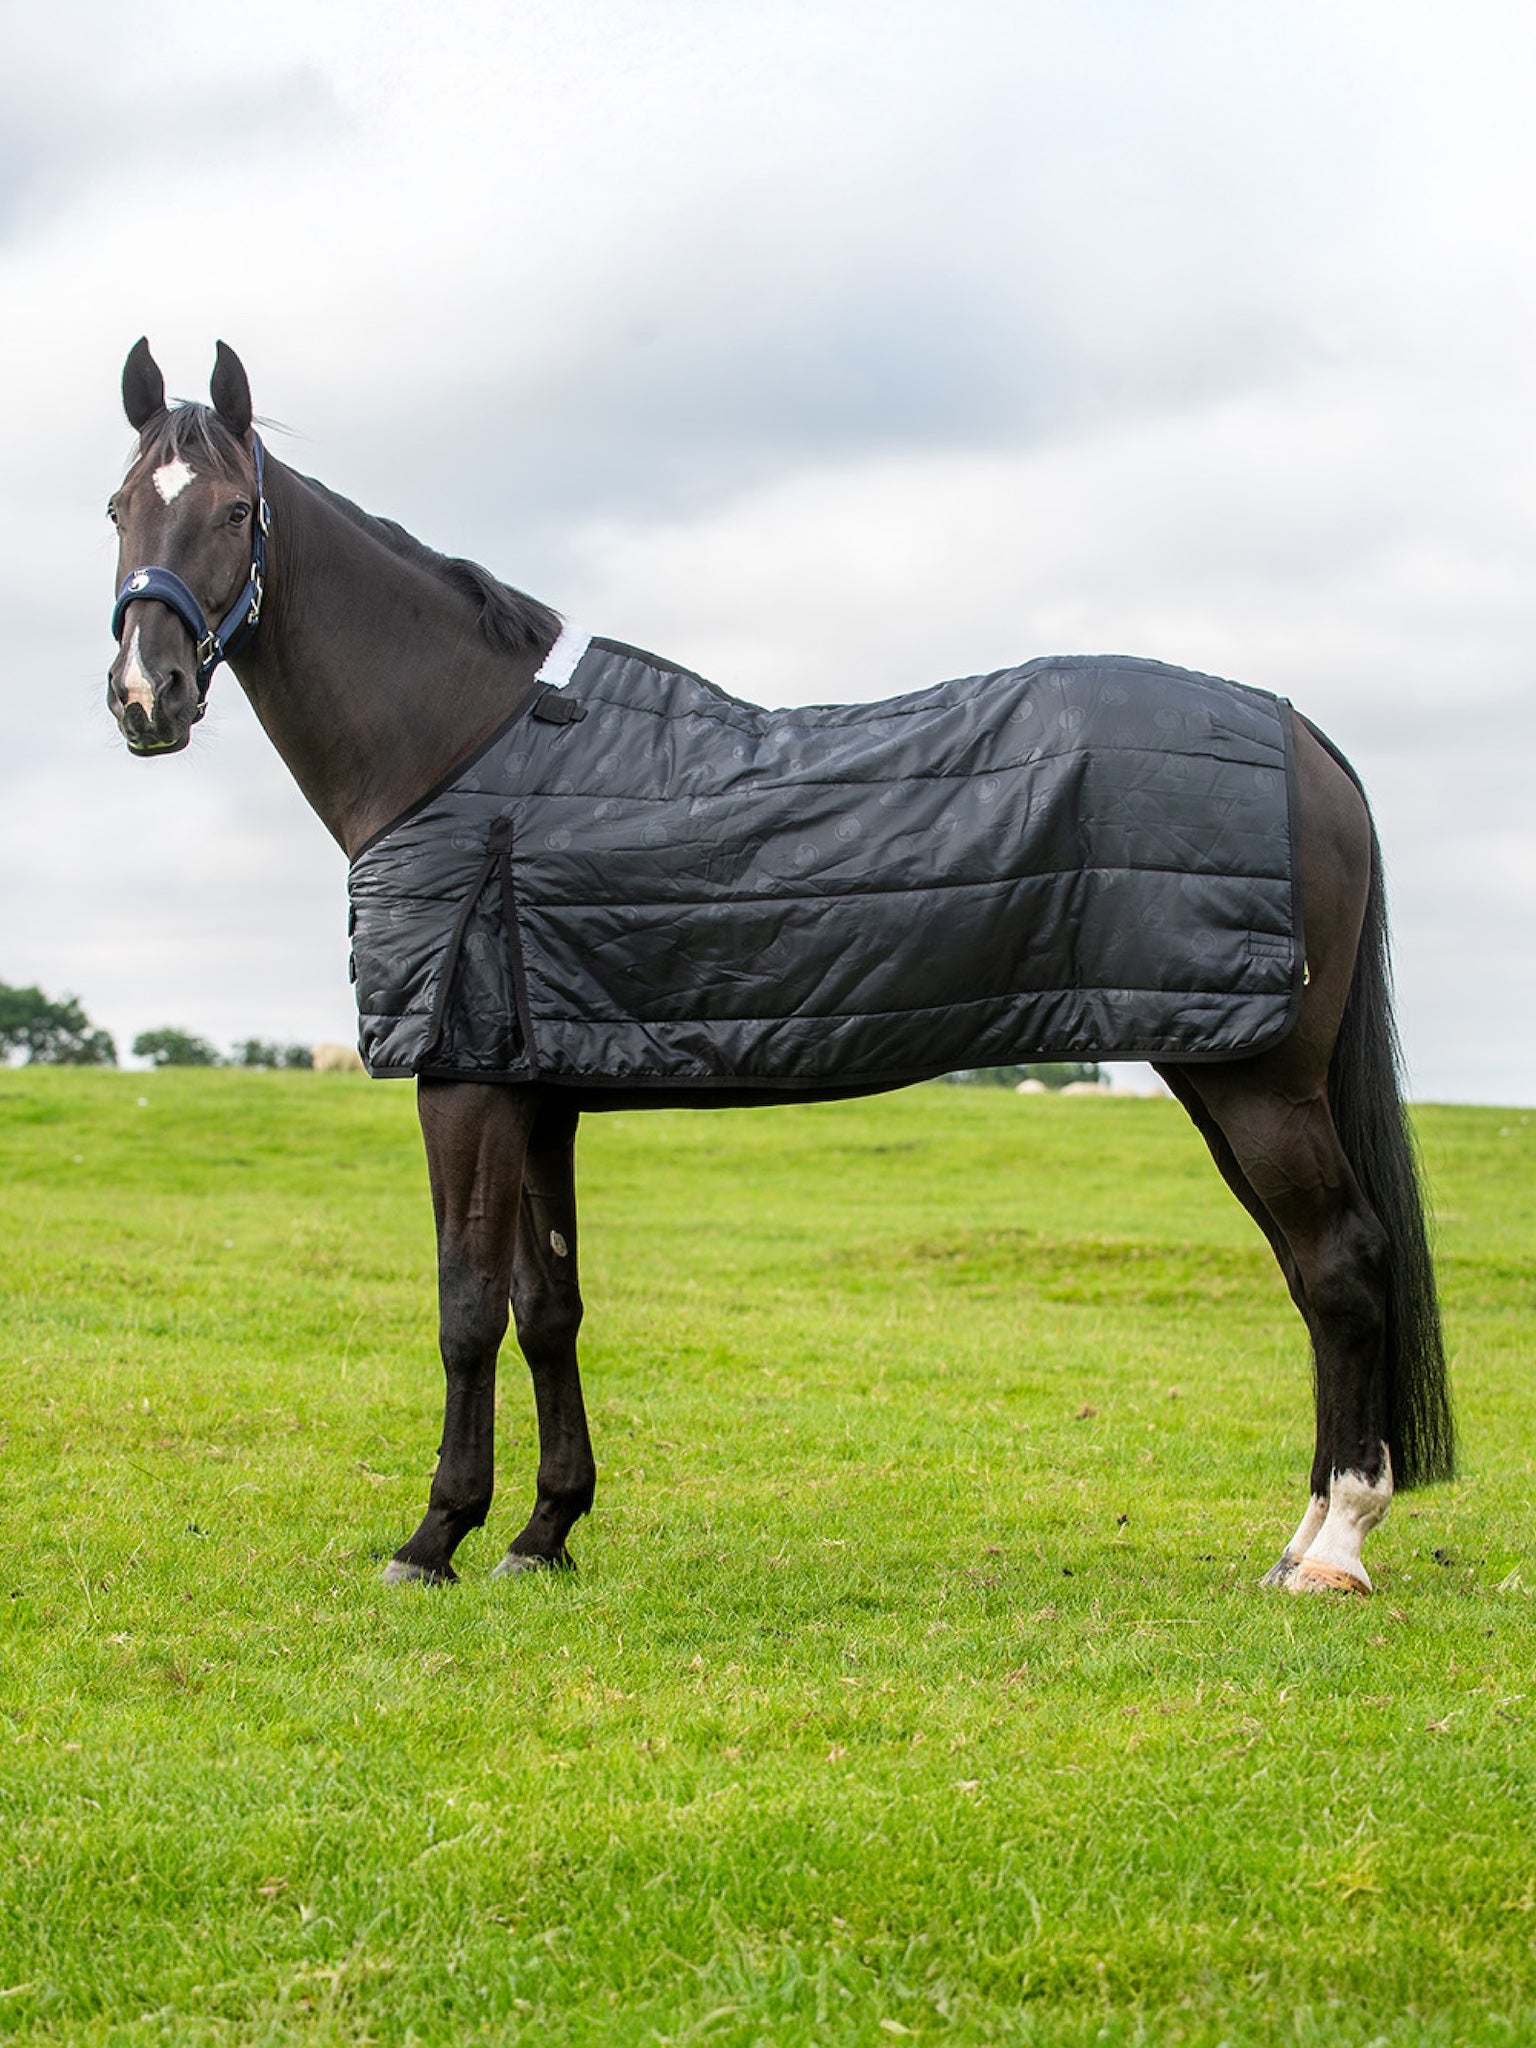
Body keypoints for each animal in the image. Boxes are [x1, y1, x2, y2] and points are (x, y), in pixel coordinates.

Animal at [102, 340, 1453, 1597]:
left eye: (235, 511)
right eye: (118, 507)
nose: (143, 695)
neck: (454, 751)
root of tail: (1301, 731)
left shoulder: (464, 1083)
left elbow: (466, 1306)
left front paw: (435, 1534)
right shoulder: (535, 1088)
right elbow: (548, 1308)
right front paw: (544, 1530)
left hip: (1254, 1077)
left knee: (1340, 1264)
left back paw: (1338, 1543)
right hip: (1221, 1065)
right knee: (1310, 1274)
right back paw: (1300, 1537)